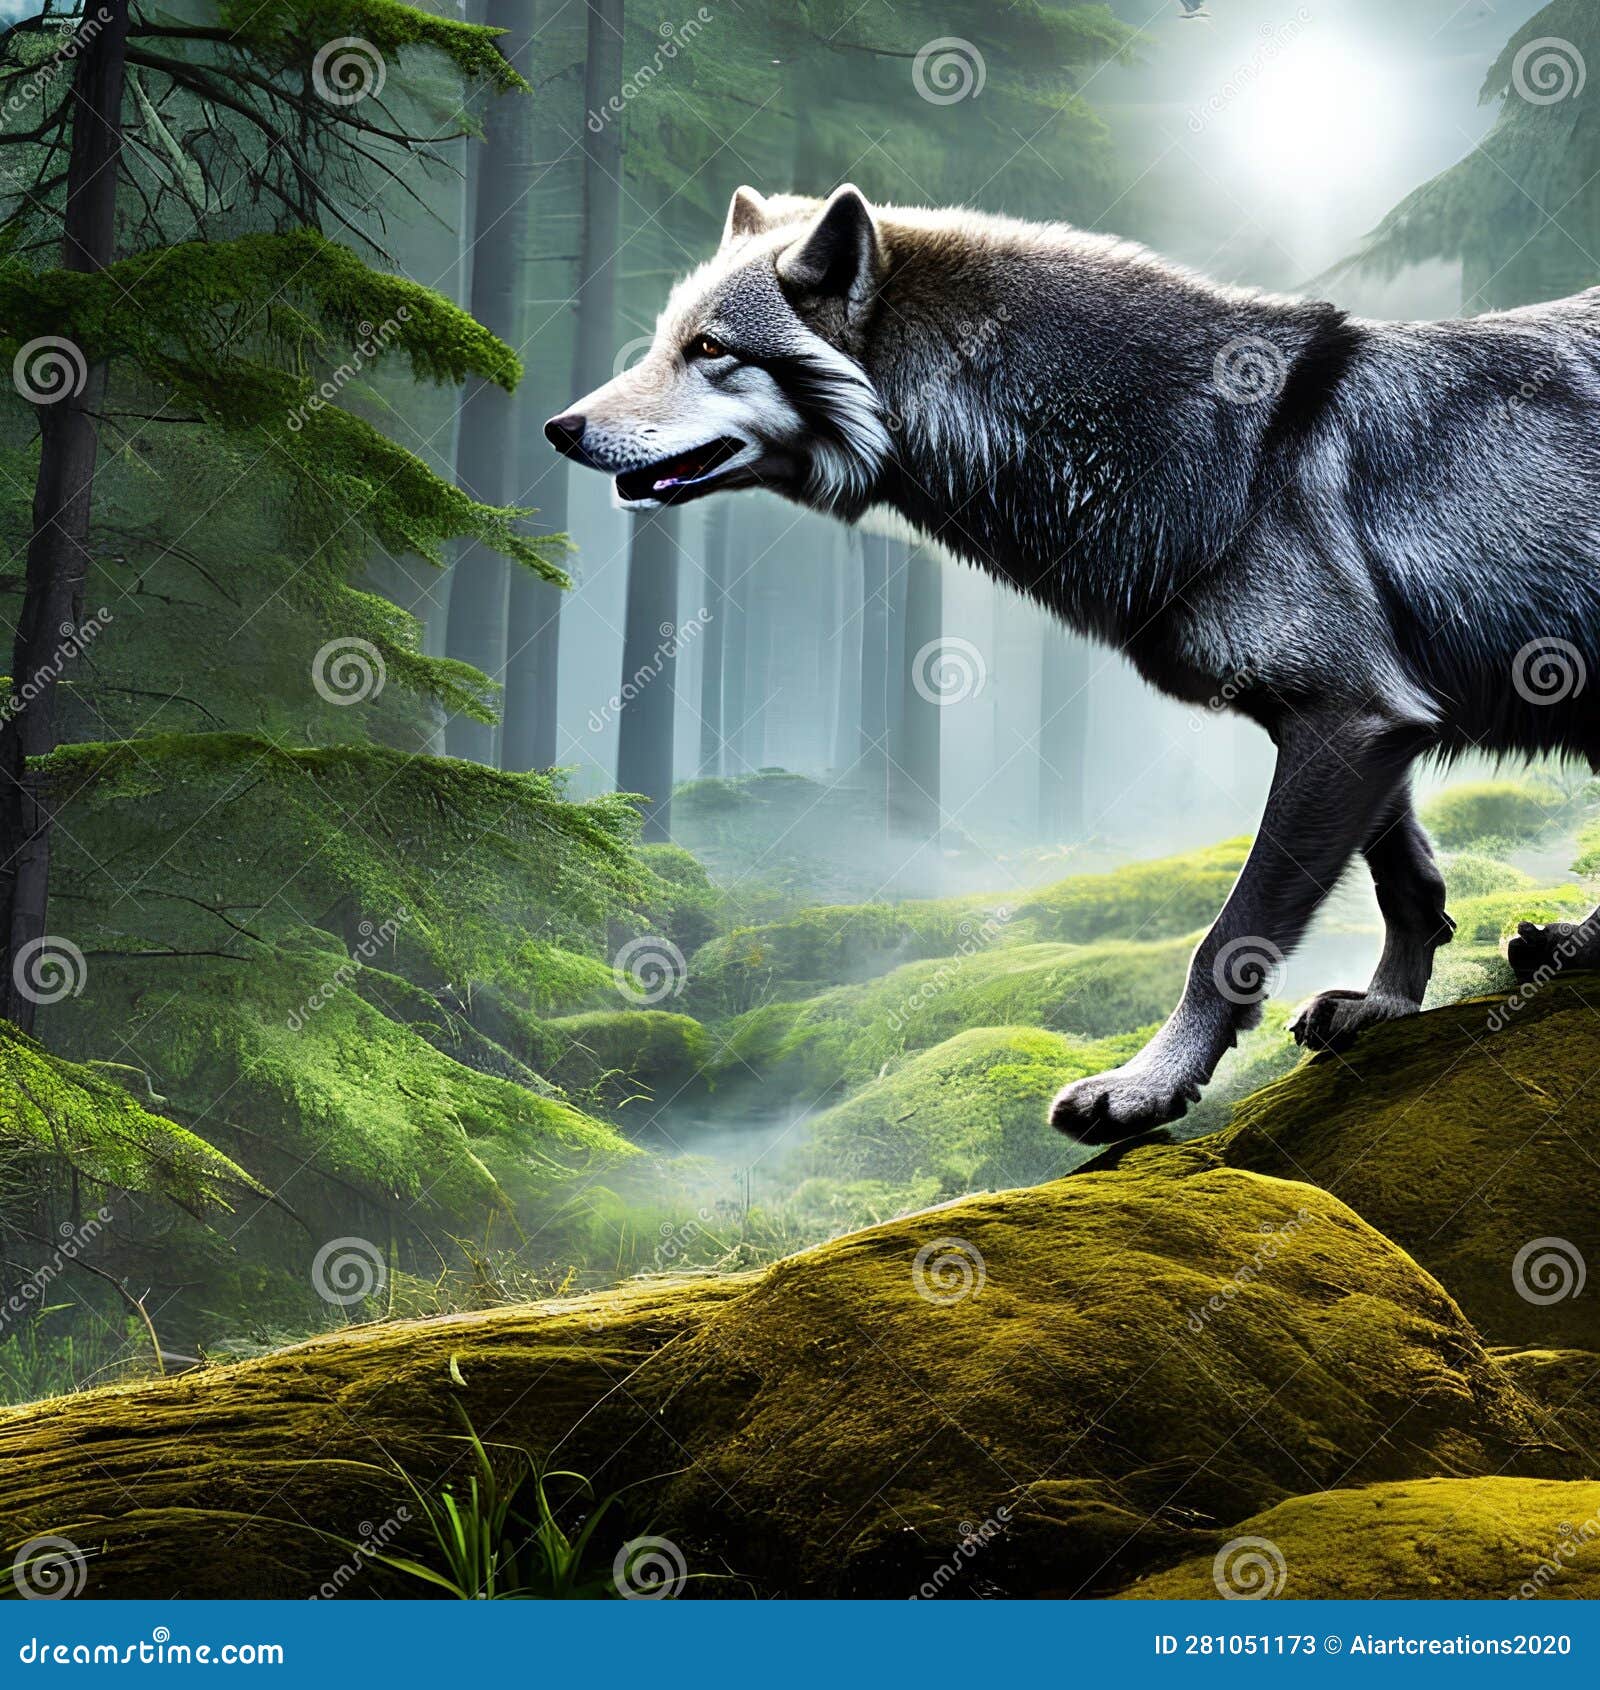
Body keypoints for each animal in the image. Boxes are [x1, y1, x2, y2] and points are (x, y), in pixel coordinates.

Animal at [547, 184, 1600, 1143]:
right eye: (663, 342)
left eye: (710, 350)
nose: (560, 429)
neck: (1233, 449)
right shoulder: (1370, 724)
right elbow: (1408, 886)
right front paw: (1385, 1007)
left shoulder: (1349, 718)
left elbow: (1226, 939)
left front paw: (1146, 1088)